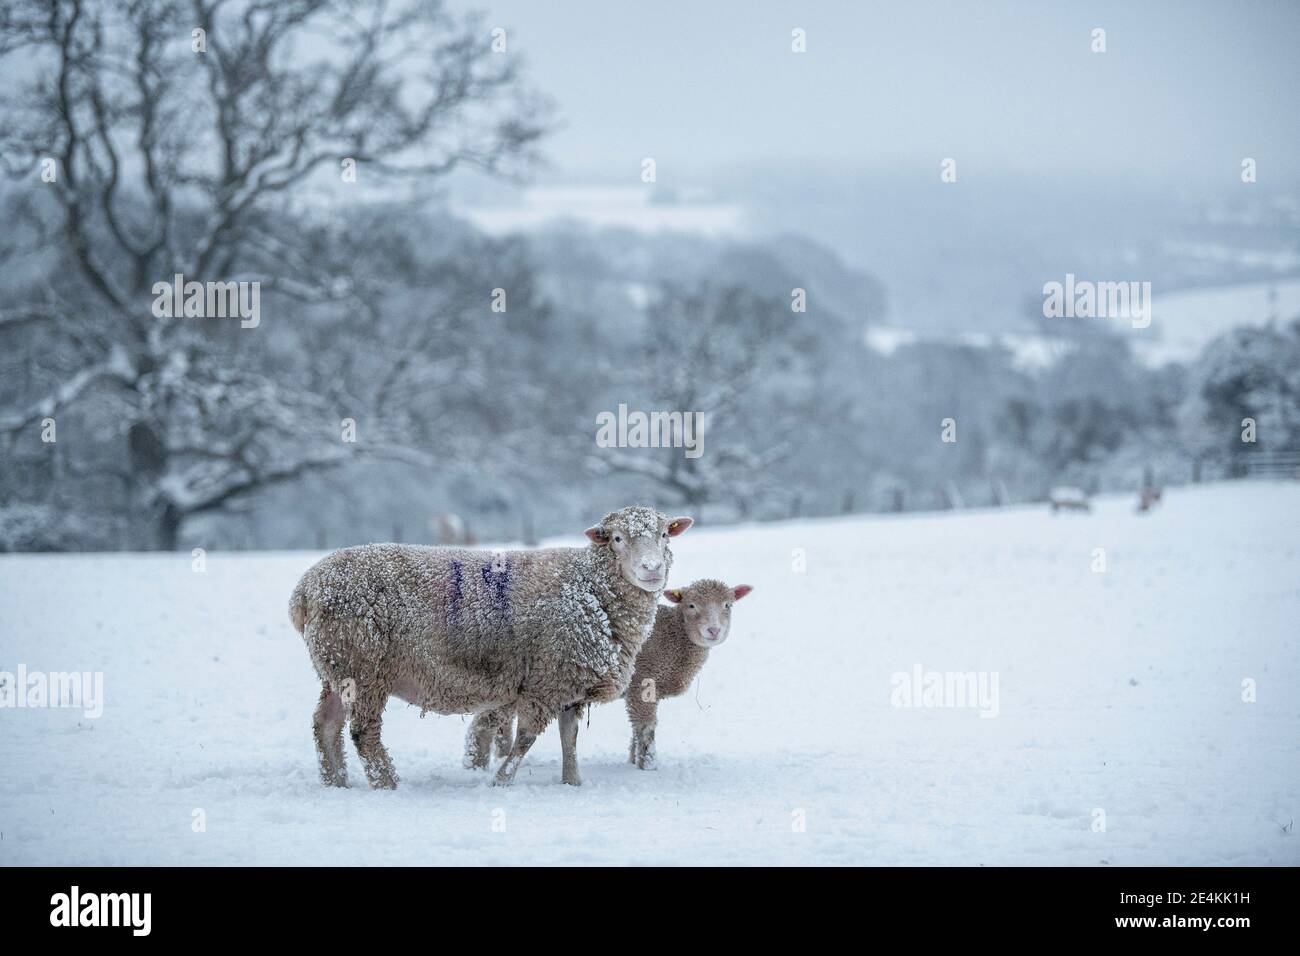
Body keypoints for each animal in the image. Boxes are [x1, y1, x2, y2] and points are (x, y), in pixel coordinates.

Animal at [288, 506, 693, 788]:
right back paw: (386, 783)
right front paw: (502, 780)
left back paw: (336, 781)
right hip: (363, 665)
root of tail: (305, 592)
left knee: (325, 724)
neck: (591, 588)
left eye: (664, 534)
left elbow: (569, 738)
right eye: (617, 539)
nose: (652, 568)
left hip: (338, 667)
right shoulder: (546, 681)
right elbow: (527, 738)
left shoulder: (569, 683)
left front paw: (572, 782)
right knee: (362, 732)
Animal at [474, 578, 752, 776]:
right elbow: (646, 729)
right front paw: (648, 767)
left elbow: (636, 731)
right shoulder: (644, 681)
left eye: (727, 605)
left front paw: (632, 761)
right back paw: (478, 766)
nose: (713, 630)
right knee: (484, 724)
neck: (676, 636)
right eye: (691, 605)